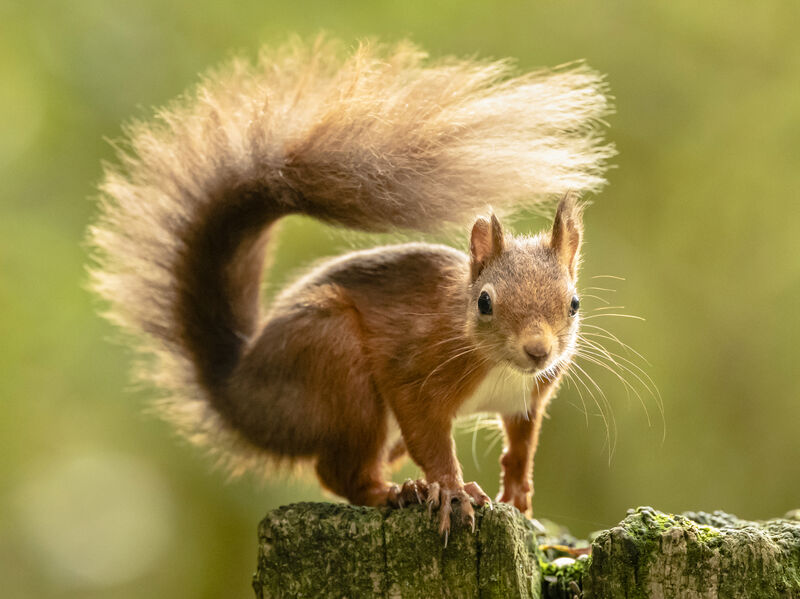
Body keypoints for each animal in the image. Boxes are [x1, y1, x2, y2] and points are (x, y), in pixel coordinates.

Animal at [89, 37, 613, 535]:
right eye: (485, 303)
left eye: (573, 303)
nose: (538, 351)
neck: (497, 364)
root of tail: (239, 395)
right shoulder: (417, 371)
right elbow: (430, 436)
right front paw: (452, 490)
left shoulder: (528, 400)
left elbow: (521, 446)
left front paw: (520, 499)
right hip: (337, 363)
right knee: (340, 473)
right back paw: (399, 493)